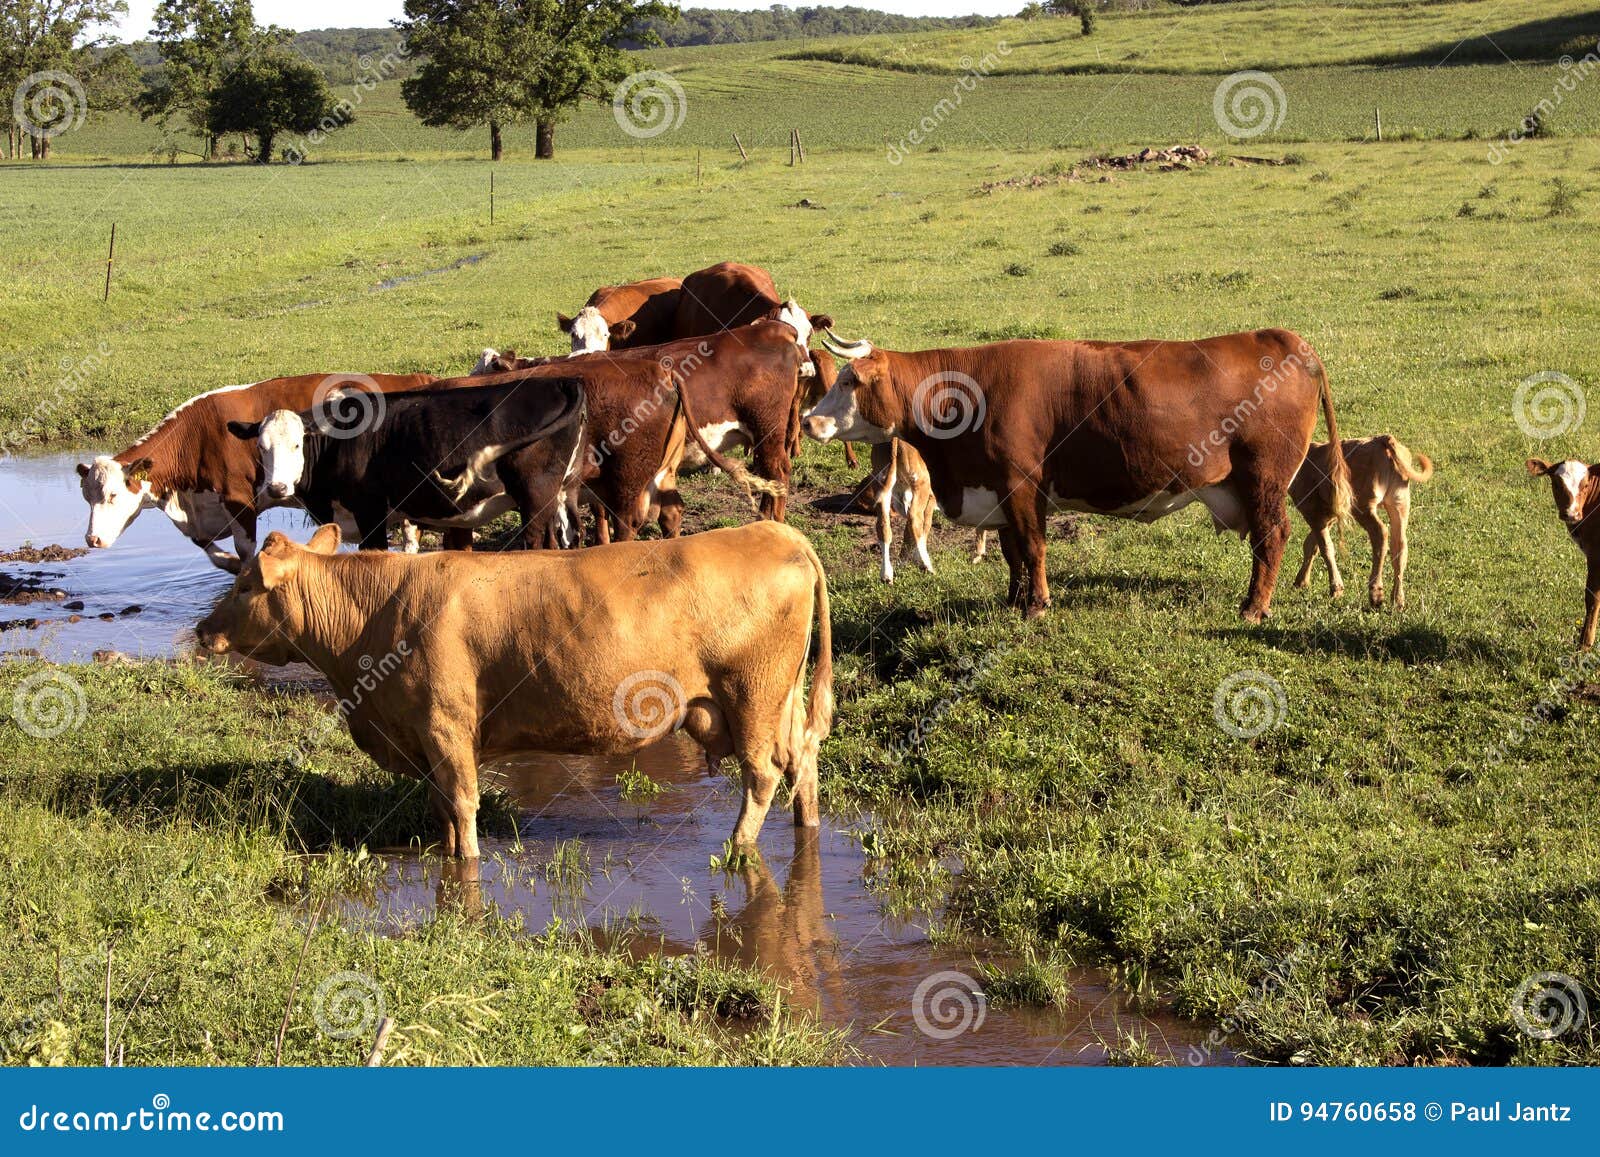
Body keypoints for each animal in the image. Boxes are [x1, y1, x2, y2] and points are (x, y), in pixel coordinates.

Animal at [76, 373, 440, 572]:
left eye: (112, 495)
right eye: (87, 498)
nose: (91, 539)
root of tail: (417, 379)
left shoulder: (238, 498)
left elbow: (244, 550)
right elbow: (211, 550)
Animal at [194, 520, 834, 859]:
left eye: (246, 584)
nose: (203, 629)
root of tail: (774, 530)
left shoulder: (445, 727)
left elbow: (463, 803)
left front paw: (468, 870)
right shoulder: (425, 740)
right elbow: (442, 808)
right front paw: (448, 856)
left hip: (751, 695)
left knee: (762, 774)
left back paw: (737, 850)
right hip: (781, 699)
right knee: (802, 758)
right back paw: (806, 830)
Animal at [804, 328, 1350, 621]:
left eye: (850, 381)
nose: (808, 421)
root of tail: (1284, 338)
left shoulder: (1022, 485)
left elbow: (1033, 547)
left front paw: (1037, 606)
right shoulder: (1000, 491)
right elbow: (1012, 552)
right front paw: (1014, 600)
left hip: (1264, 479)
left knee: (1271, 537)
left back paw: (1253, 607)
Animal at [1292, 435, 1434, 607]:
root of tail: (1381, 439)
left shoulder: (1313, 511)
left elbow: (1325, 547)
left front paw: (1336, 588)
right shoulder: (1329, 515)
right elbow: (1311, 545)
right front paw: (1301, 581)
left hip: (1362, 505)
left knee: (1380, 534)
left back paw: (1376, 593)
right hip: (1400, 502)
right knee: (1399, 544)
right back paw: (1397, 599)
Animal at [1527, 456, 1600, 648]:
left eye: (1585, 485)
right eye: (1556, 484)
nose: (1571, 514)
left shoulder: (1595, 555)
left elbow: (1592, 598)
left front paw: (1584, 644)